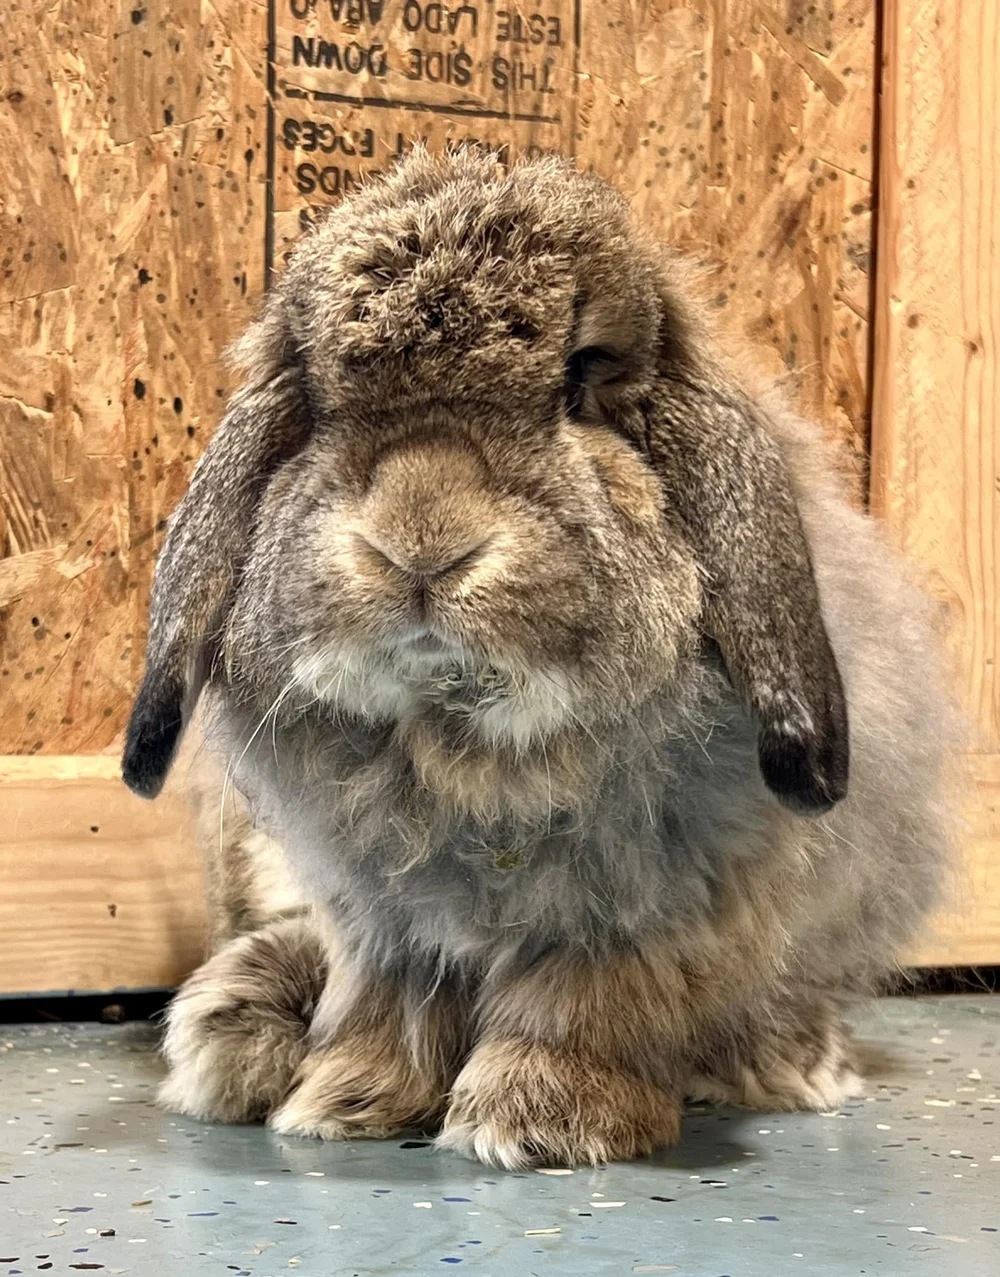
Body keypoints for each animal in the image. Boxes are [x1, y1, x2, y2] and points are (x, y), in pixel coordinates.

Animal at [123, 146, 956, 1169]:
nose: (421, 540)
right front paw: (347, 1098)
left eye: (578, 380)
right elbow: (389, 1000)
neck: (463, 746)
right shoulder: (379, 917)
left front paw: (538, 1119)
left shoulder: (641, 907)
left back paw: (790, 1061)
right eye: (317, 404)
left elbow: (581, 1003)